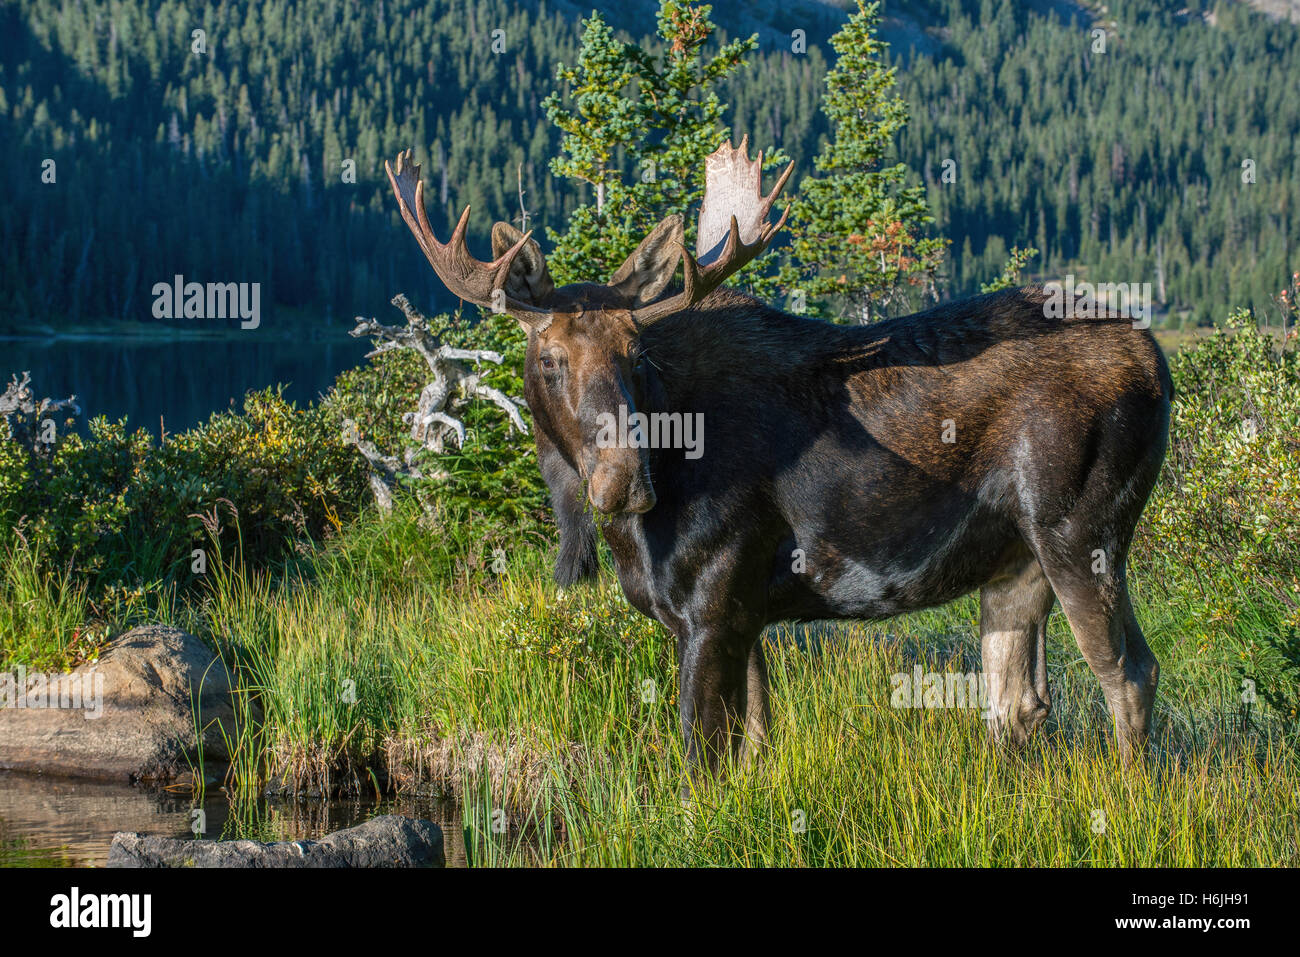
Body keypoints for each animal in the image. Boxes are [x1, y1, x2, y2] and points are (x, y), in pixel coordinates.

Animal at [385, 135, 1172, 778]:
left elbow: (700, 760)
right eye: (549, 358)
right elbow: (756, 744)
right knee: (1018, 703)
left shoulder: (709, 605)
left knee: (1129, 673)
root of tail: (1156, 359)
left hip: (1081, 532)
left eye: (637, 354)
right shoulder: (744, 613)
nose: (626, 480)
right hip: (1014, 563)